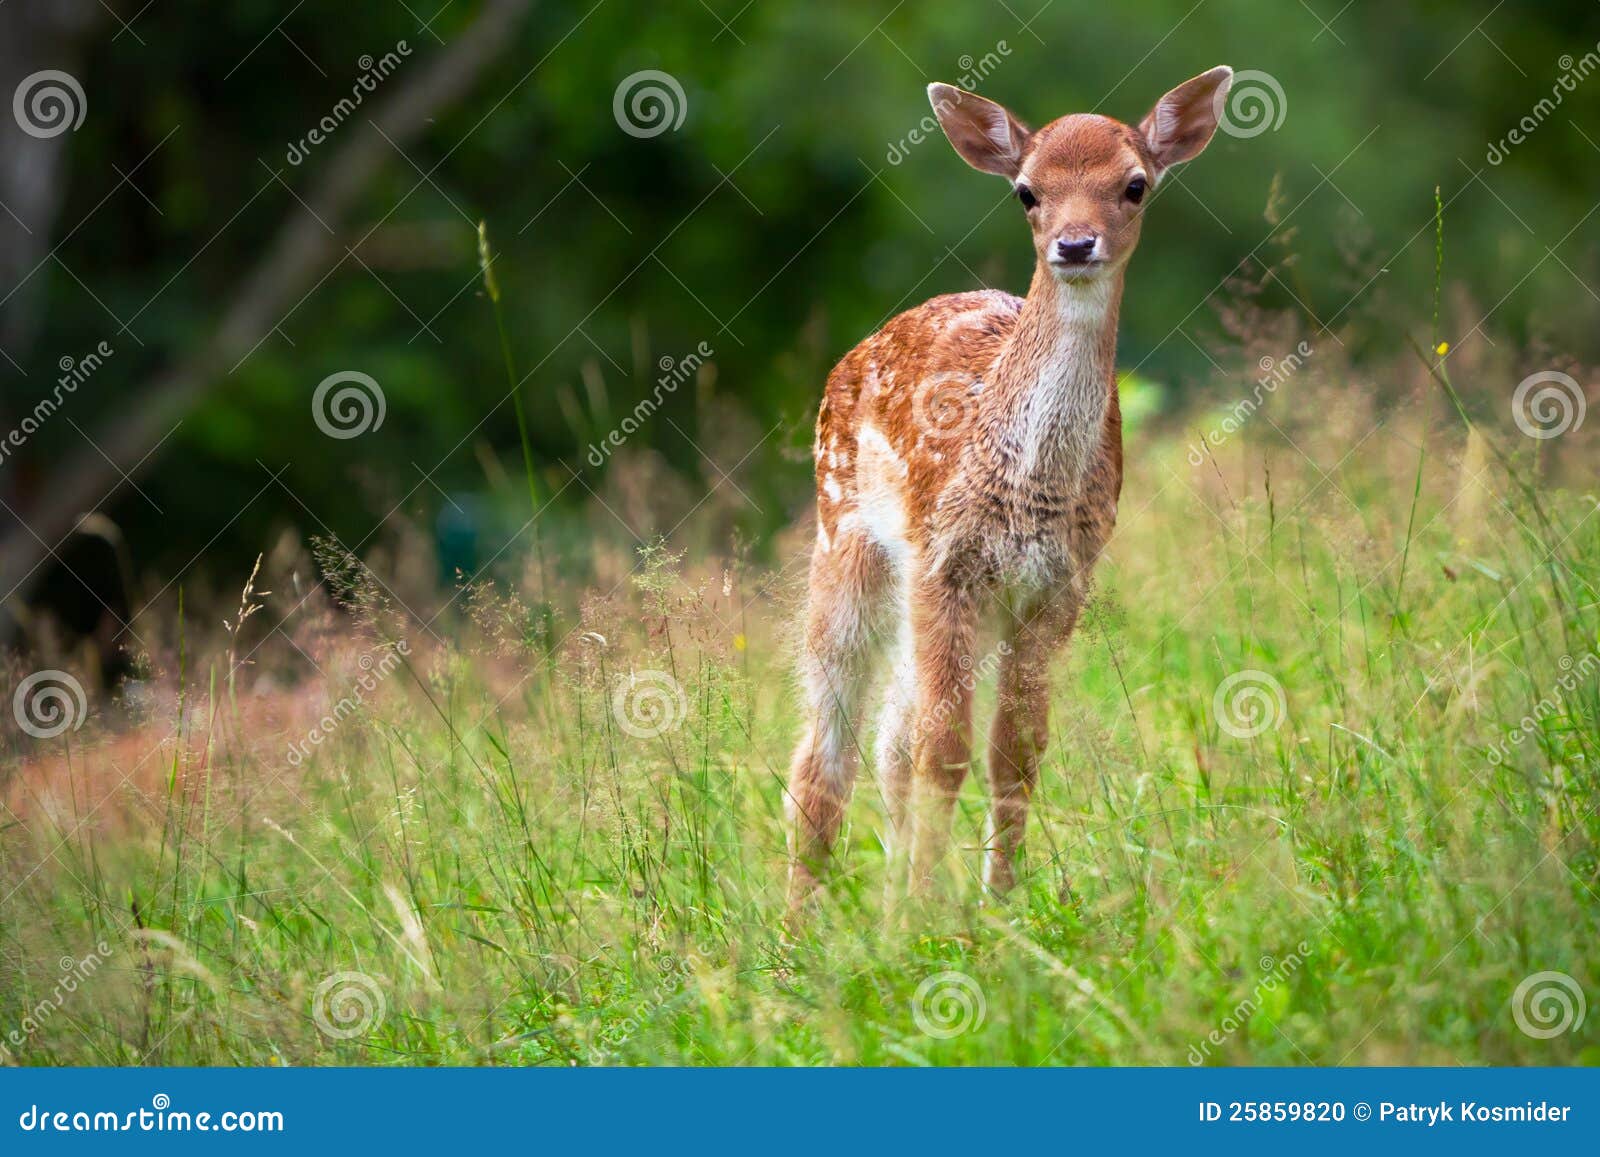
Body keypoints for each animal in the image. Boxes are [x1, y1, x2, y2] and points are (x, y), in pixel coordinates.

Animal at [785, 66, 1234, 912]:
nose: (1076, 243)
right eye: (1027, 191)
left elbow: (1015, 752)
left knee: (890, 738)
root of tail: (852, 356)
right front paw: (932, 915)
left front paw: (998, 905)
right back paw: (802, 922)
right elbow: (945, 750)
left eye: (1135, 185)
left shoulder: (1058, 586)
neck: (1029, 491)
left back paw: (886, 896)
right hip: (845, 542)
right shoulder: (944, 560)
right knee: (826, 750)